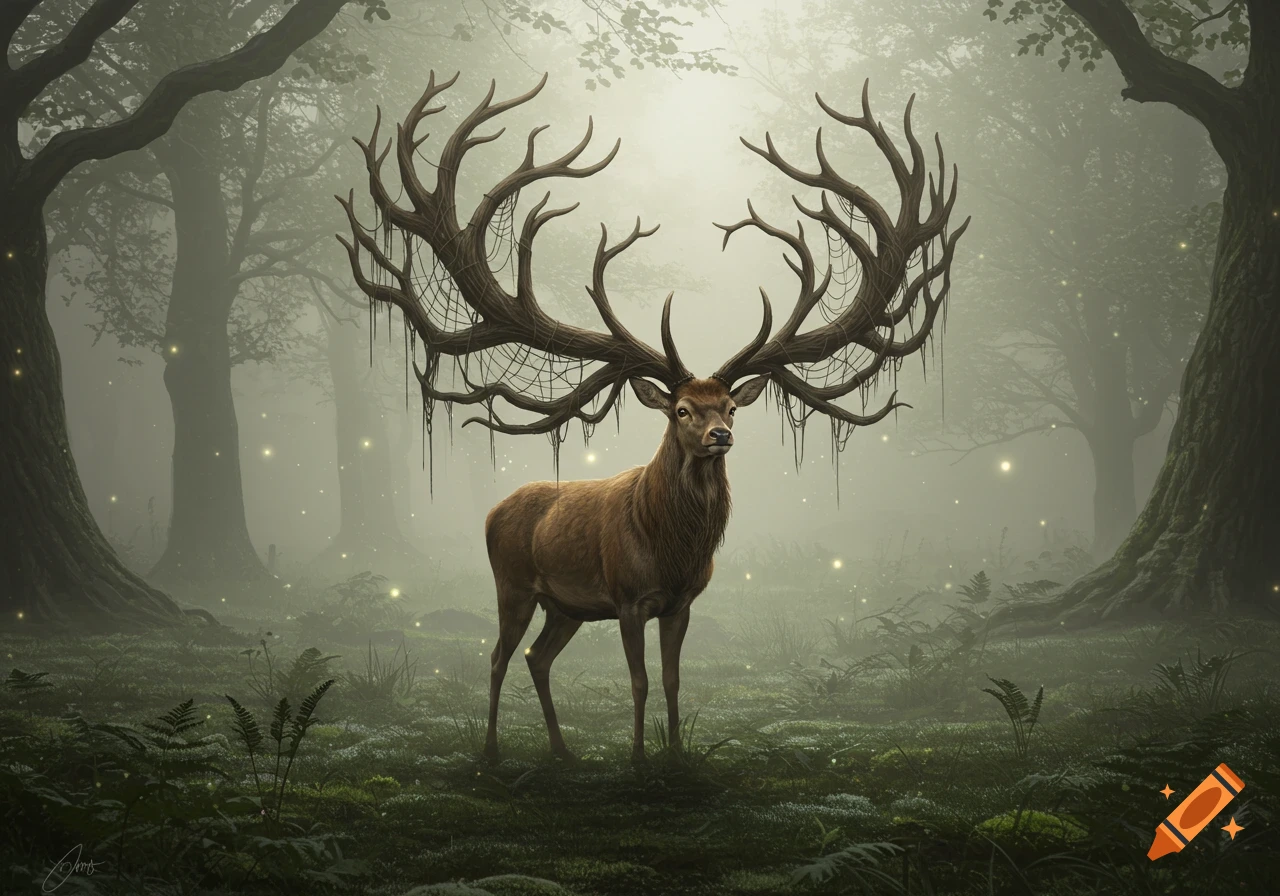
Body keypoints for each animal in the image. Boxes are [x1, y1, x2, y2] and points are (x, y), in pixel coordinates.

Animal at [338, 72, 968, 763]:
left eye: (730, 406)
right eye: (682, 409)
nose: (720, 436)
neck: (671, 548)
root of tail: (493, 510)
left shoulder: (681, 601)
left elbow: (670, 679)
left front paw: (673, 754)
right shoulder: (628, 598)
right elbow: (638, 680)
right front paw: (639, 759)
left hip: (564, 606)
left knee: (536, 657)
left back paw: (562, 751)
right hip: (514, 584)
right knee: (500, 656)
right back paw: (493, 750)